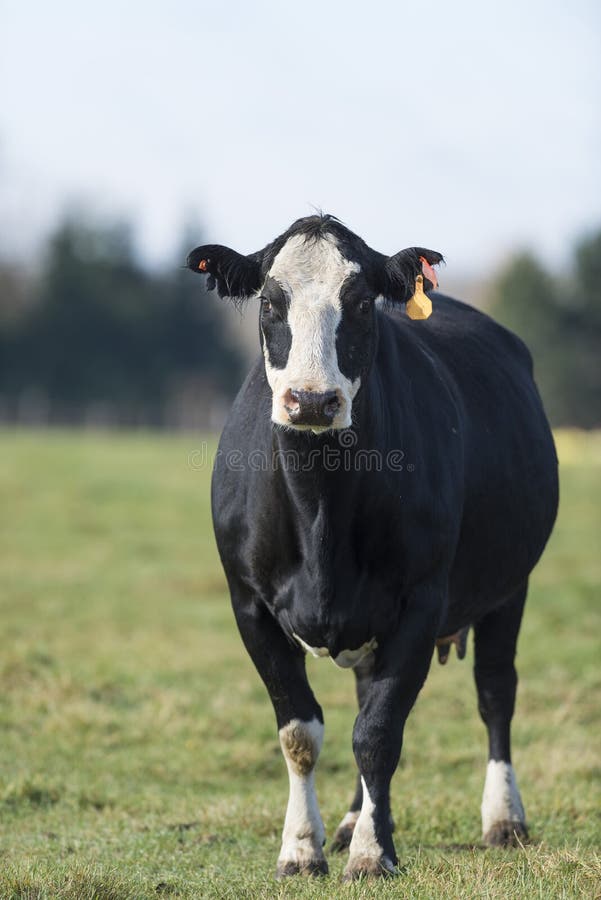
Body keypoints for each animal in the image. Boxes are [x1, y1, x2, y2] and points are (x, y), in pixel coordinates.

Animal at [187, 214, 558, 881]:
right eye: (270, 302)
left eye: (361, 303)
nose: (312, 400)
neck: (320, 510)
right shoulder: (248, 602)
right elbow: (301, 731)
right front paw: (301, 847)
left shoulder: (422, 599)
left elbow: (378, 733)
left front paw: (372, 853)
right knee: (369, 694)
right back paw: (349, 820)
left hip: (509, 587)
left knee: (496, 694)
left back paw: (504, 819)